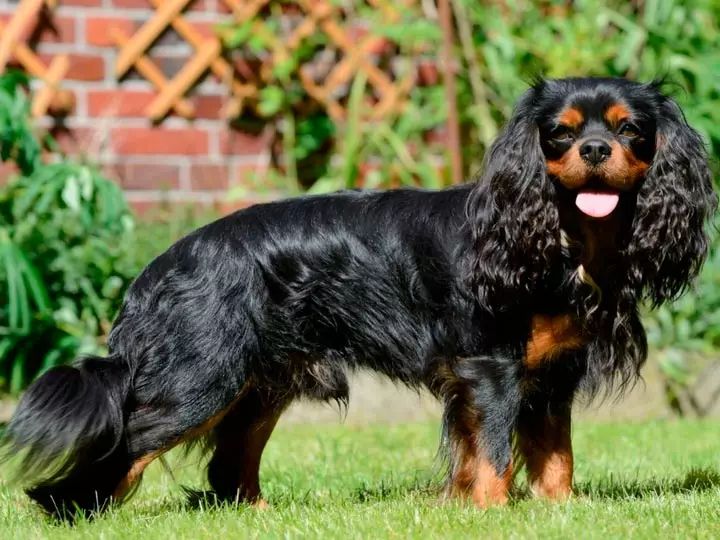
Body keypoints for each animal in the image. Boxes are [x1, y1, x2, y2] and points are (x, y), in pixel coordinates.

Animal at [2, 77, 716, 520]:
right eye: (561, 135)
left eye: (630, 130)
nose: (596, 149)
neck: (563, 238)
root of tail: (157, 266)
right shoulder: (491, 368)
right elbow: (493, 452)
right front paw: (491, 512)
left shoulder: (553, 374)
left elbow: (556, 455)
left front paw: (561, 511)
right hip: (200, 380)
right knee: (125, 442)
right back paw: (75, 511)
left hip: (261, 385)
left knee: (229, 467)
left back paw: (259, 517)